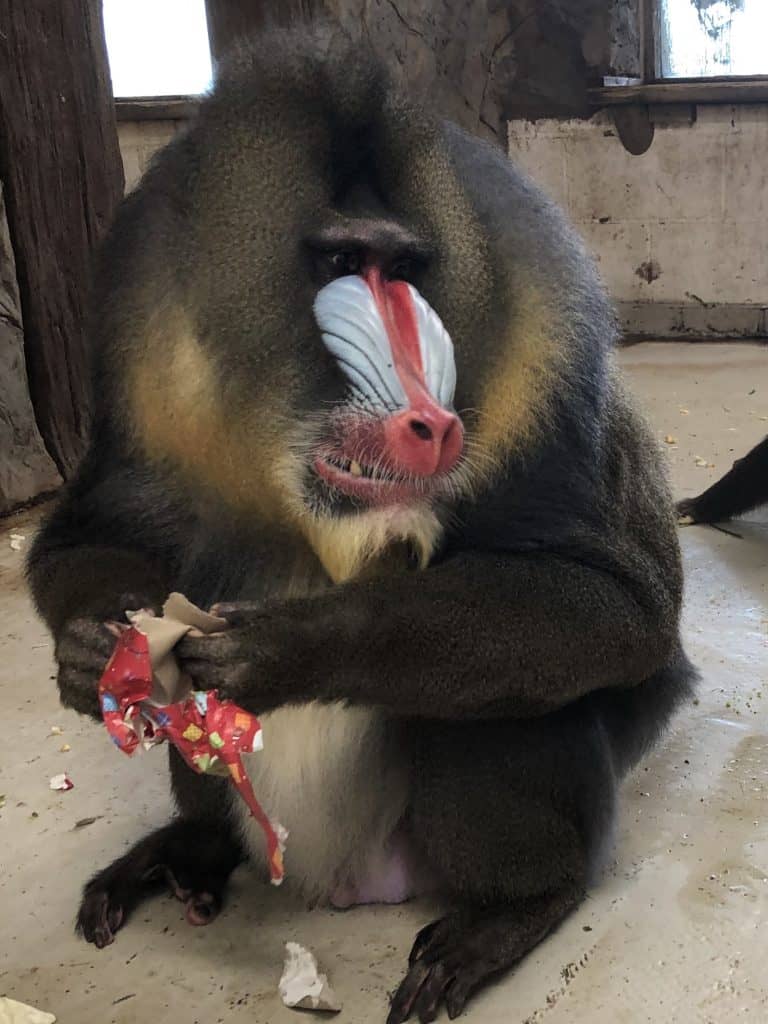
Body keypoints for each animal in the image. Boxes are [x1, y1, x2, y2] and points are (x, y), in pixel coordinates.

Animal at [27, 26, 695, 1023]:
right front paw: (91, 653)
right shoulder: (143, 400)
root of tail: (339, 881)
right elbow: (82, 540)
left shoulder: (555, 405)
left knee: (505, 693)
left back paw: (510, 913)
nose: (432, 423)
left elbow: (618, 613)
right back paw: (183, 853)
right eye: (345, 267)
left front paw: (295, 647)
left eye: (406, 272)